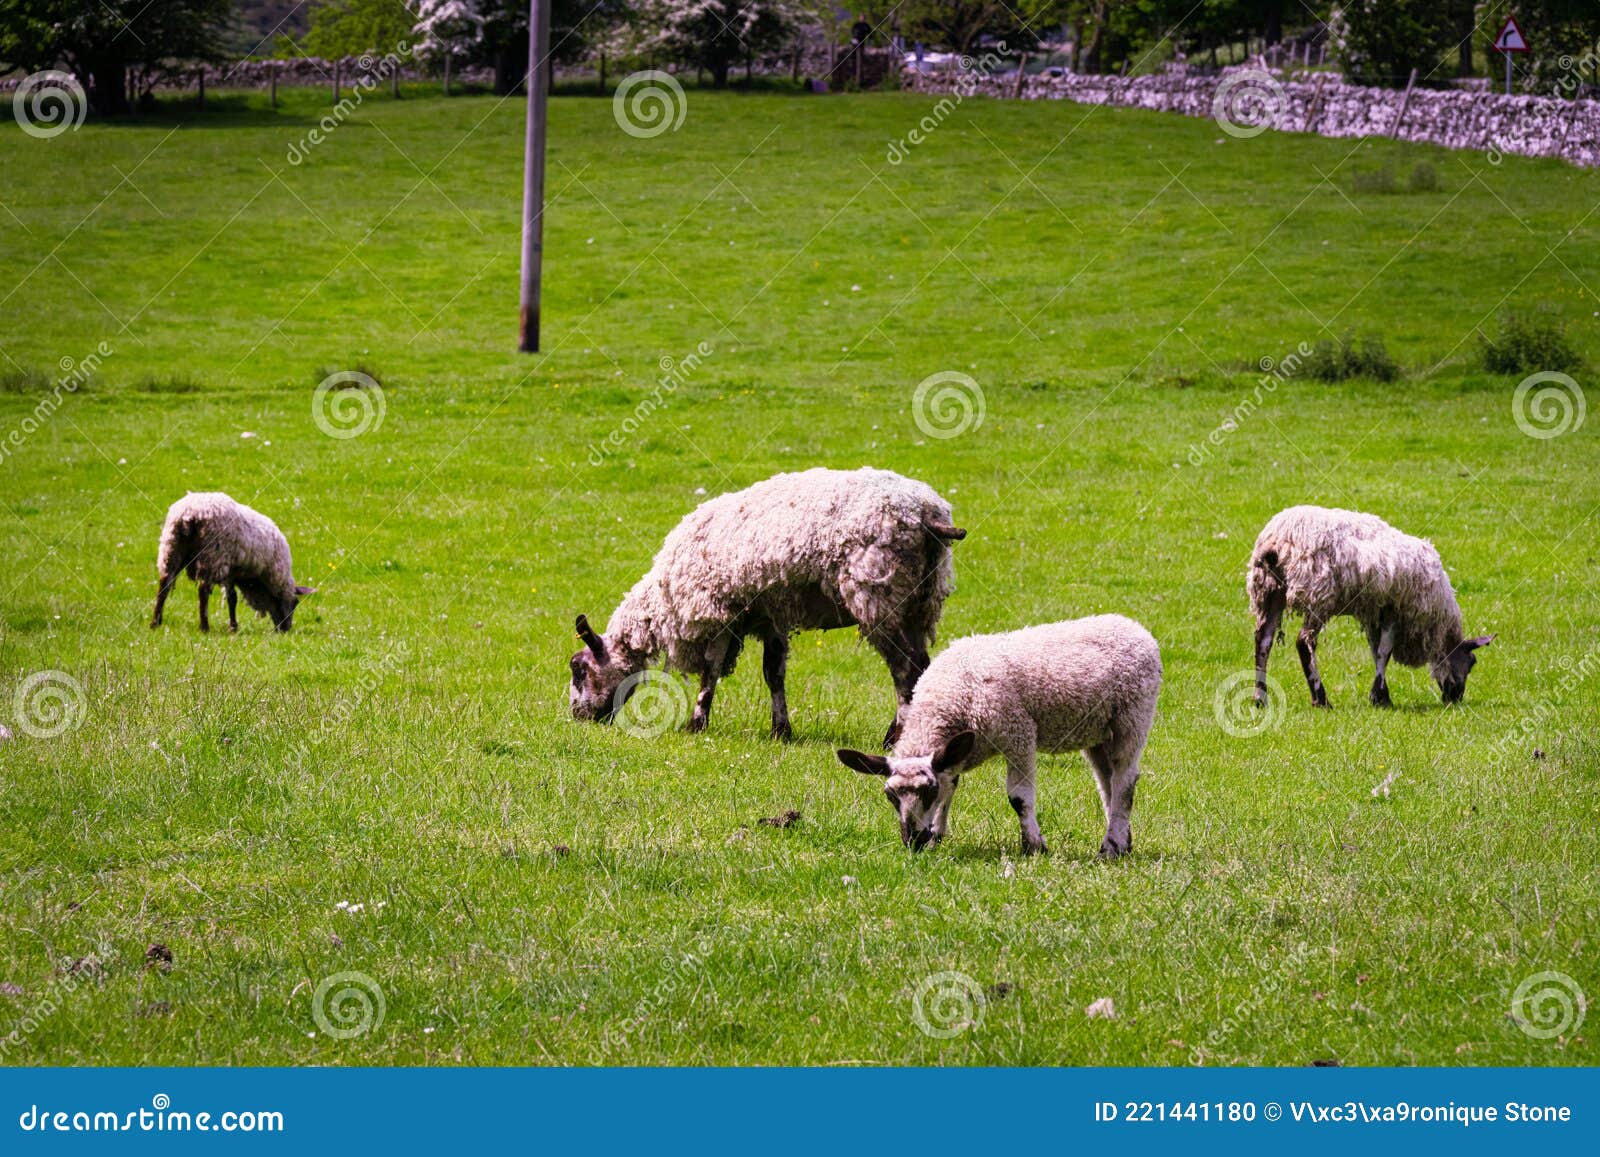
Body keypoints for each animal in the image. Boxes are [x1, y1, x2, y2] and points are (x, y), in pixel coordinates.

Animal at [150, 492, 316, 633]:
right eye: (295, 603)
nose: (285, 629)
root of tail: (189, 514)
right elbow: (232, 598)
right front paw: (233, 626)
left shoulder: (231, 572)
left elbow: (232, 598)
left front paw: (233, 627)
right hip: (212, 555)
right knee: (203, 590)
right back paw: (204, 627)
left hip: (171, 548)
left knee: (164, 585)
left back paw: (155, 623)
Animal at [570, 467, 966, 744]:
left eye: (579, 668)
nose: (577, 716)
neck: (662, 599)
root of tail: (926, 513)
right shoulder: (771, 614)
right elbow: (773, 673)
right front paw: (780, 731)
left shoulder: (720, 611)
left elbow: (711, 670)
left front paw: (696, 723)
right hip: (918, 601)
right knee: (921, 665)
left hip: (878, 595)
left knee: (904, 668)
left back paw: (894, 738)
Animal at [835, 615, 1162, 858]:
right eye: (890, 795)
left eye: (927, 791)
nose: (912, 841)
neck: (951, 696)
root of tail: (1136, 628)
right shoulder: (957, 749)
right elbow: (951, 785)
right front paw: (937, 835)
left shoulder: (1018, 733)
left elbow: (1018, 798)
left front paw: (1034, 846)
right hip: (1098, 732)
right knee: (1108, 783)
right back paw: (1123, 840)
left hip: (1133, 715)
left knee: (1124, 780)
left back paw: (1111, 848)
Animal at [1247, 505, 1492, 708]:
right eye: (1471, 662)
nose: (1455, 698)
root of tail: (1275, 541)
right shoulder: (1395, 609)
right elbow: (1384, 651)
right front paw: (1381, 697)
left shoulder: (1376, 613)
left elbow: (1376, 650)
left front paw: (1381, 693)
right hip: (1317, 593)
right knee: (1304, 641)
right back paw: (1321, 698)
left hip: (1269, 591)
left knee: (1263, 640)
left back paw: (1260, 698)